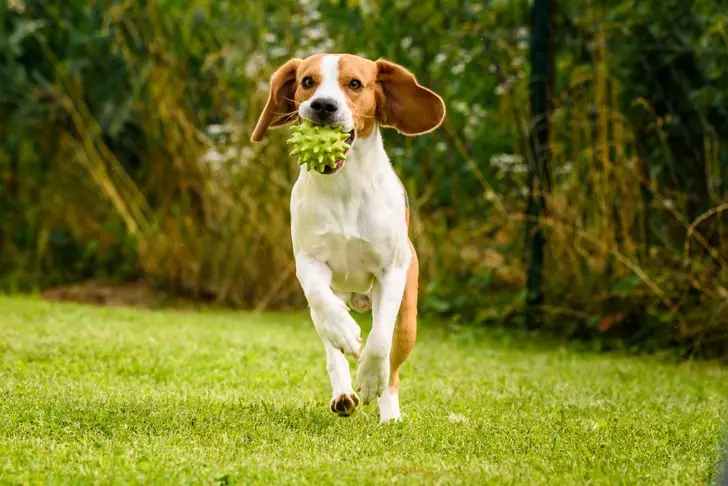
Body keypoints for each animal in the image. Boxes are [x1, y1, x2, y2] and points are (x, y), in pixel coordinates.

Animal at [250, 53, 444, 422]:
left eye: (355, 84)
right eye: (307, 82)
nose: (324, 106)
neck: (344, 185)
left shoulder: (392, 270)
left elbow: (380, 341)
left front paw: (369, 379)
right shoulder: (308, 261)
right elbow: (322, 302)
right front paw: (346, 333)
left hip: (408, 318)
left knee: (393, 365)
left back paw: (388, 412)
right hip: (325, 307)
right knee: (331, 344)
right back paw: (343, 392)